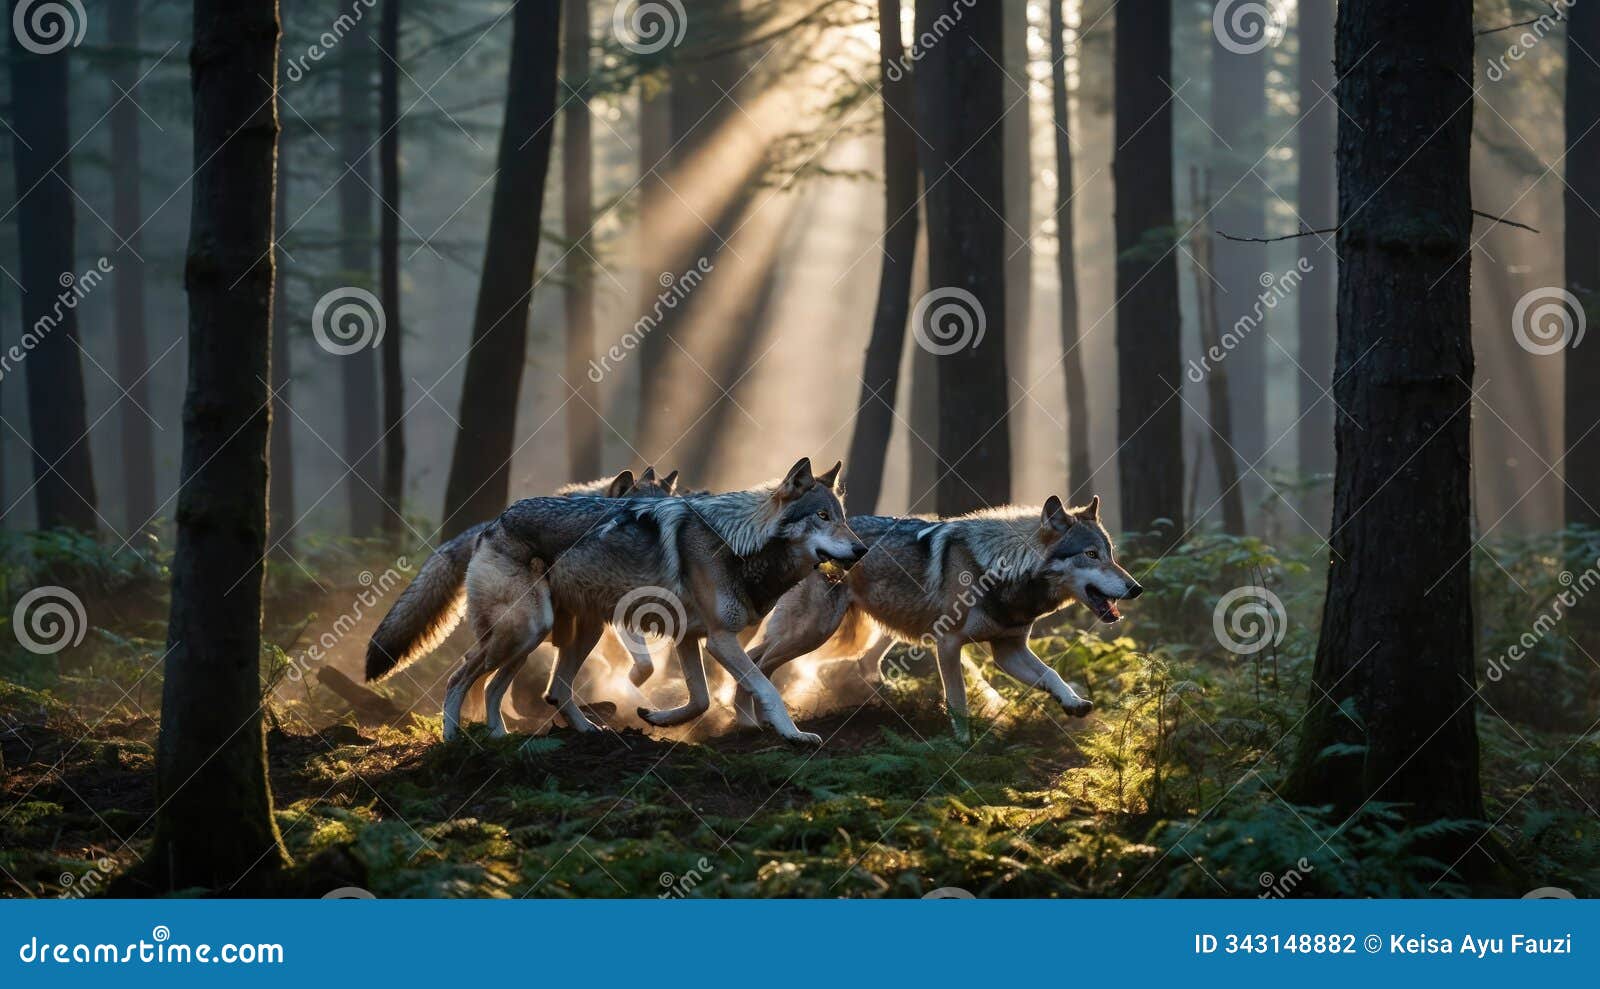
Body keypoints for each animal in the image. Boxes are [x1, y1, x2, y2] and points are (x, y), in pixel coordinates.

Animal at [730, 495, 1142, 739]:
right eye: (1090, 555)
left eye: (1110, 553)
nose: (1135, 588)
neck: (998, 570)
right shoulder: (948, 644)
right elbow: (958, 699)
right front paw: (963, 743)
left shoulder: (1008, 650)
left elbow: (1051, 674)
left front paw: (1074, 704)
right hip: (816, 631)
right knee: (760, 663)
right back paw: (756, 722)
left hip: (863, 635)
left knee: (759, 659)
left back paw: (753, 721)